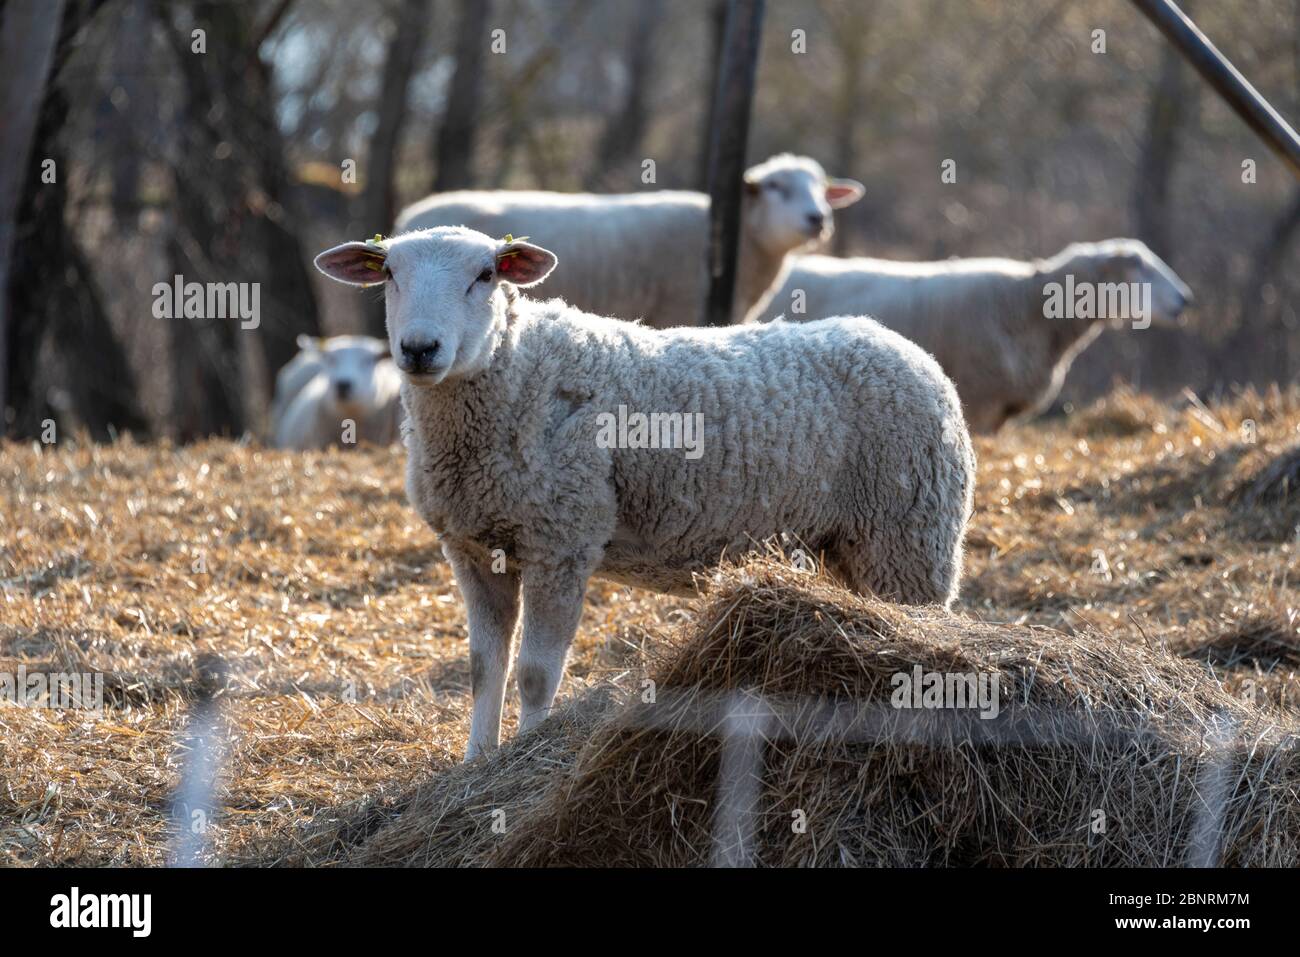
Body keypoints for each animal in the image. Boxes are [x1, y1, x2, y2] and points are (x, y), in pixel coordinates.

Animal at [314, 226, 975, 758]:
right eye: (390, 274)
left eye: (485, 275)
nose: (419, 349)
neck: (518, 375)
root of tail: (908, 350)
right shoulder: (475, 549)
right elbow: (484, 669)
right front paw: (477, 761)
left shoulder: (562, 541)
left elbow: (534, 674)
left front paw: (522, 756)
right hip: (850, 544)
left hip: (908, 537)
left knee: (923, 631)